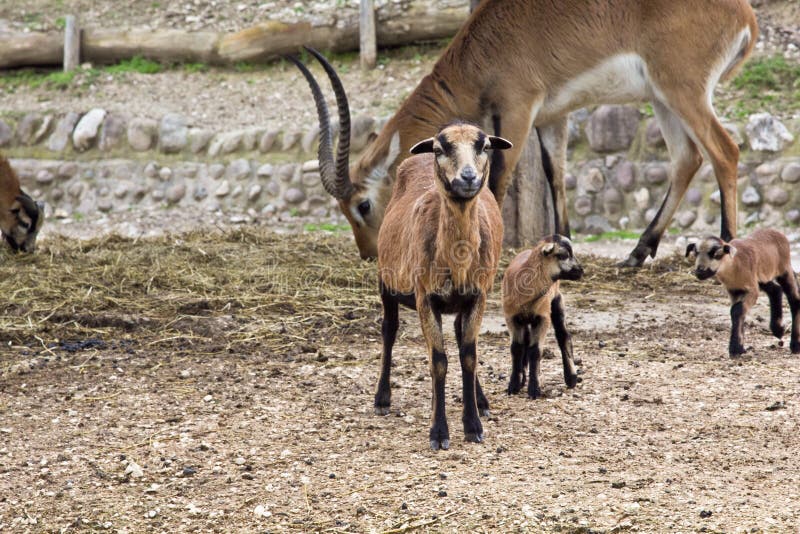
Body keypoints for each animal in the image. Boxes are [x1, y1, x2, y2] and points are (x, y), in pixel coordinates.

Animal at [291, 0, 758, 265]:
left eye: (363, 205)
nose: (370, 256)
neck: (484, 50)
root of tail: (745, 14)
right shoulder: (551, 116)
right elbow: (555, 175)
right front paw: (563, 246)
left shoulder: (517, 109)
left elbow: (496, 177)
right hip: (662, 98)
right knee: (687, 159)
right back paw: (636, 254)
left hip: (681, 90)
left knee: (724, 151)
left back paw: (726, 250)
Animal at [376, 121, 511, 450]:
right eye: (441, 149)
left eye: (485, 146)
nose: (468, 177)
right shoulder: (426, 298)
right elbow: (438, 361)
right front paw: (439, 432)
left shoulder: (477, 296)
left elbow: (469, 355)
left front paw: (473, 424)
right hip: (386, 280)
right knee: (389, 330)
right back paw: (382, 399)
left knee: (462, 336)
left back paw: (480, 400)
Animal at [502, 235, 583, 399]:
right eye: (563, 255)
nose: (581, 271)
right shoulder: (511, 318)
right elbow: (516, 348)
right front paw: (514, 385)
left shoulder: (542, 318)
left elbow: (535, 351)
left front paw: (534, 389)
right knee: (526, 342)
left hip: (556, 302)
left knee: (563, 336)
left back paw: (571, 378)